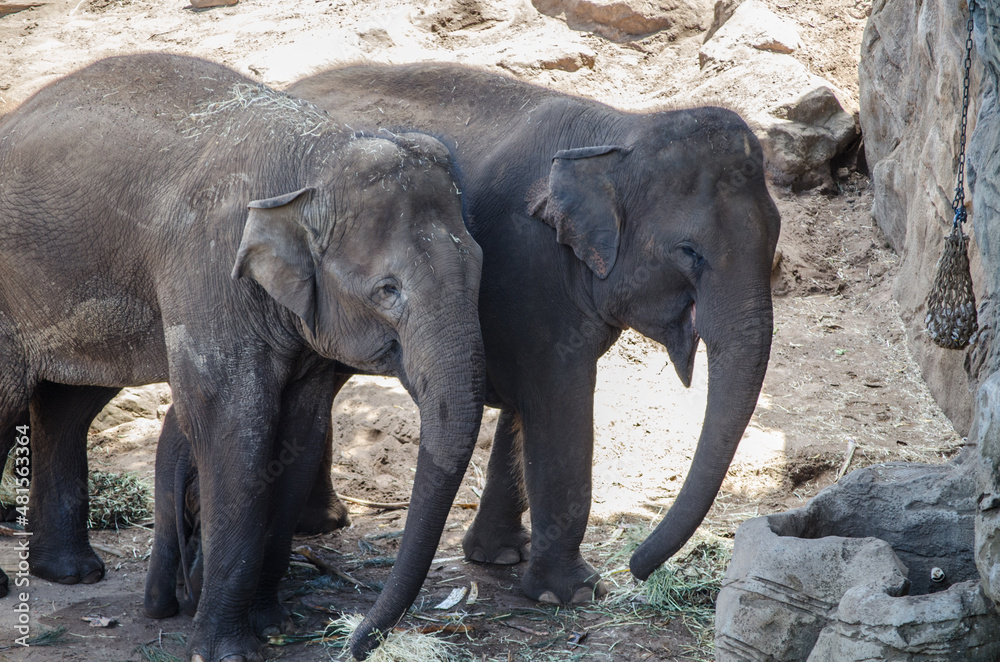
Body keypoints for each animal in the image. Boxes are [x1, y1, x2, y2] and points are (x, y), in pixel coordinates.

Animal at [0, 53, 485, 662]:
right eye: (387, 290)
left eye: (481, 267)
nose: (352, 642)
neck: (316, 152)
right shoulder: (209, 268)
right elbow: (235, 426)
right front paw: (228, 651)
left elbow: (299, 431)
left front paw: (272, 624)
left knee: (70, 404)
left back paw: (71, 573)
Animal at [285, 63, 781, 603]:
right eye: (690, 253)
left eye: (776, 237)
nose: (636, 568)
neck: (623, 129)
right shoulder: (527, 265)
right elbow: (559, 405)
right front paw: (571, 594)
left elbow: (527, 408)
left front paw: (498, 557)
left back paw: (322, 521)